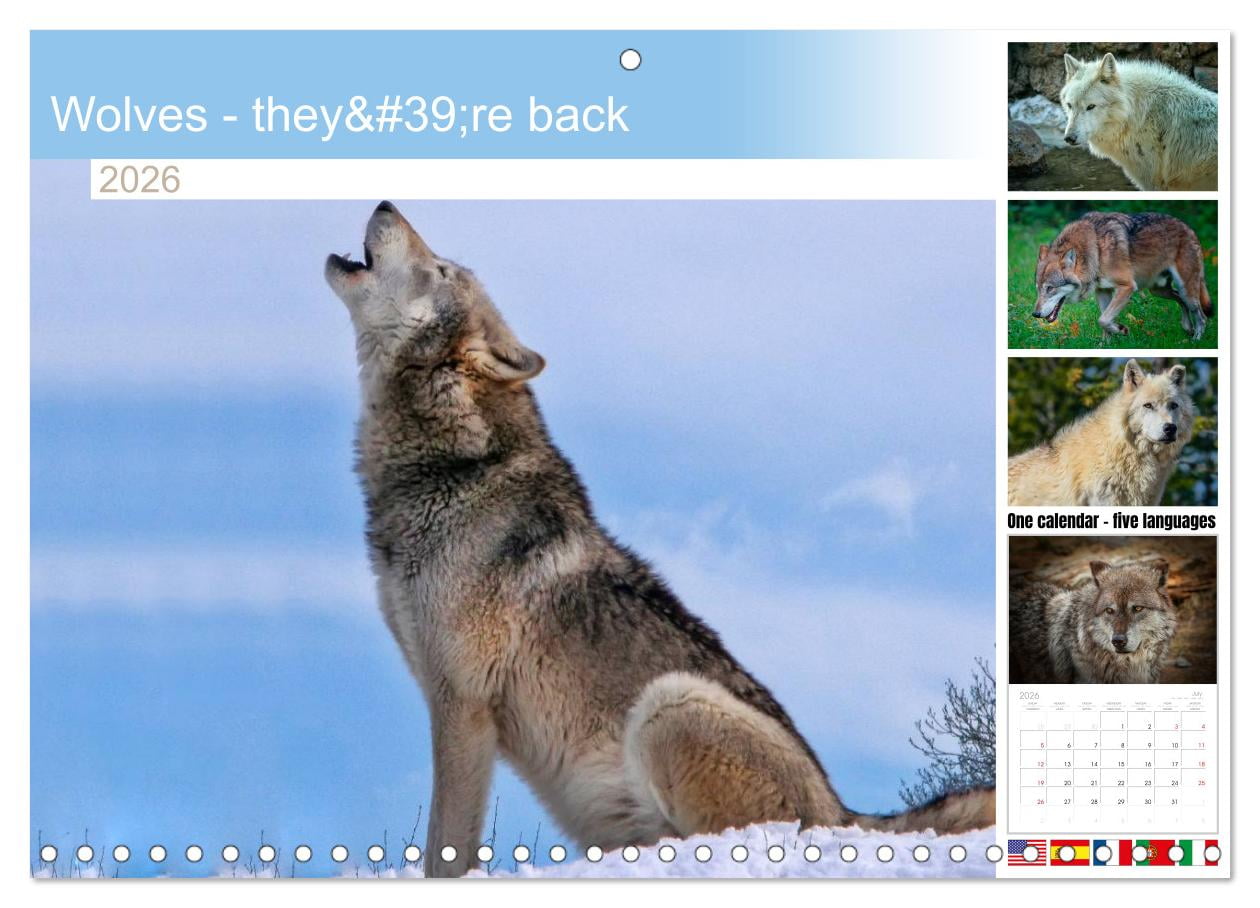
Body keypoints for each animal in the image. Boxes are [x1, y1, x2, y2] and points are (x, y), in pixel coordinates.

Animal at [325, 202, 995, 877]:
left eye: (440, 269)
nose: (386, 204)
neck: (454, 466)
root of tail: (845, 813)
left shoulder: (462, 703)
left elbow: (447, 844)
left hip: (668, 703)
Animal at [1032, 212, 1212, 341]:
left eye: (1050, 288)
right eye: (1038, 289)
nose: (1035, 314)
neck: (1097, 252)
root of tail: (1188, 228)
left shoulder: (1127, 287)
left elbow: (1103, 320)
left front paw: (1122, 330)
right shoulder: (1102, 291)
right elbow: (1104, 321)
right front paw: (1105, 345)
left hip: (1185, 290)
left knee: (1202, 316)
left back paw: (1196, 340)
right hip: (1159, 291)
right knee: (1181, 302)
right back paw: (1188, 328)